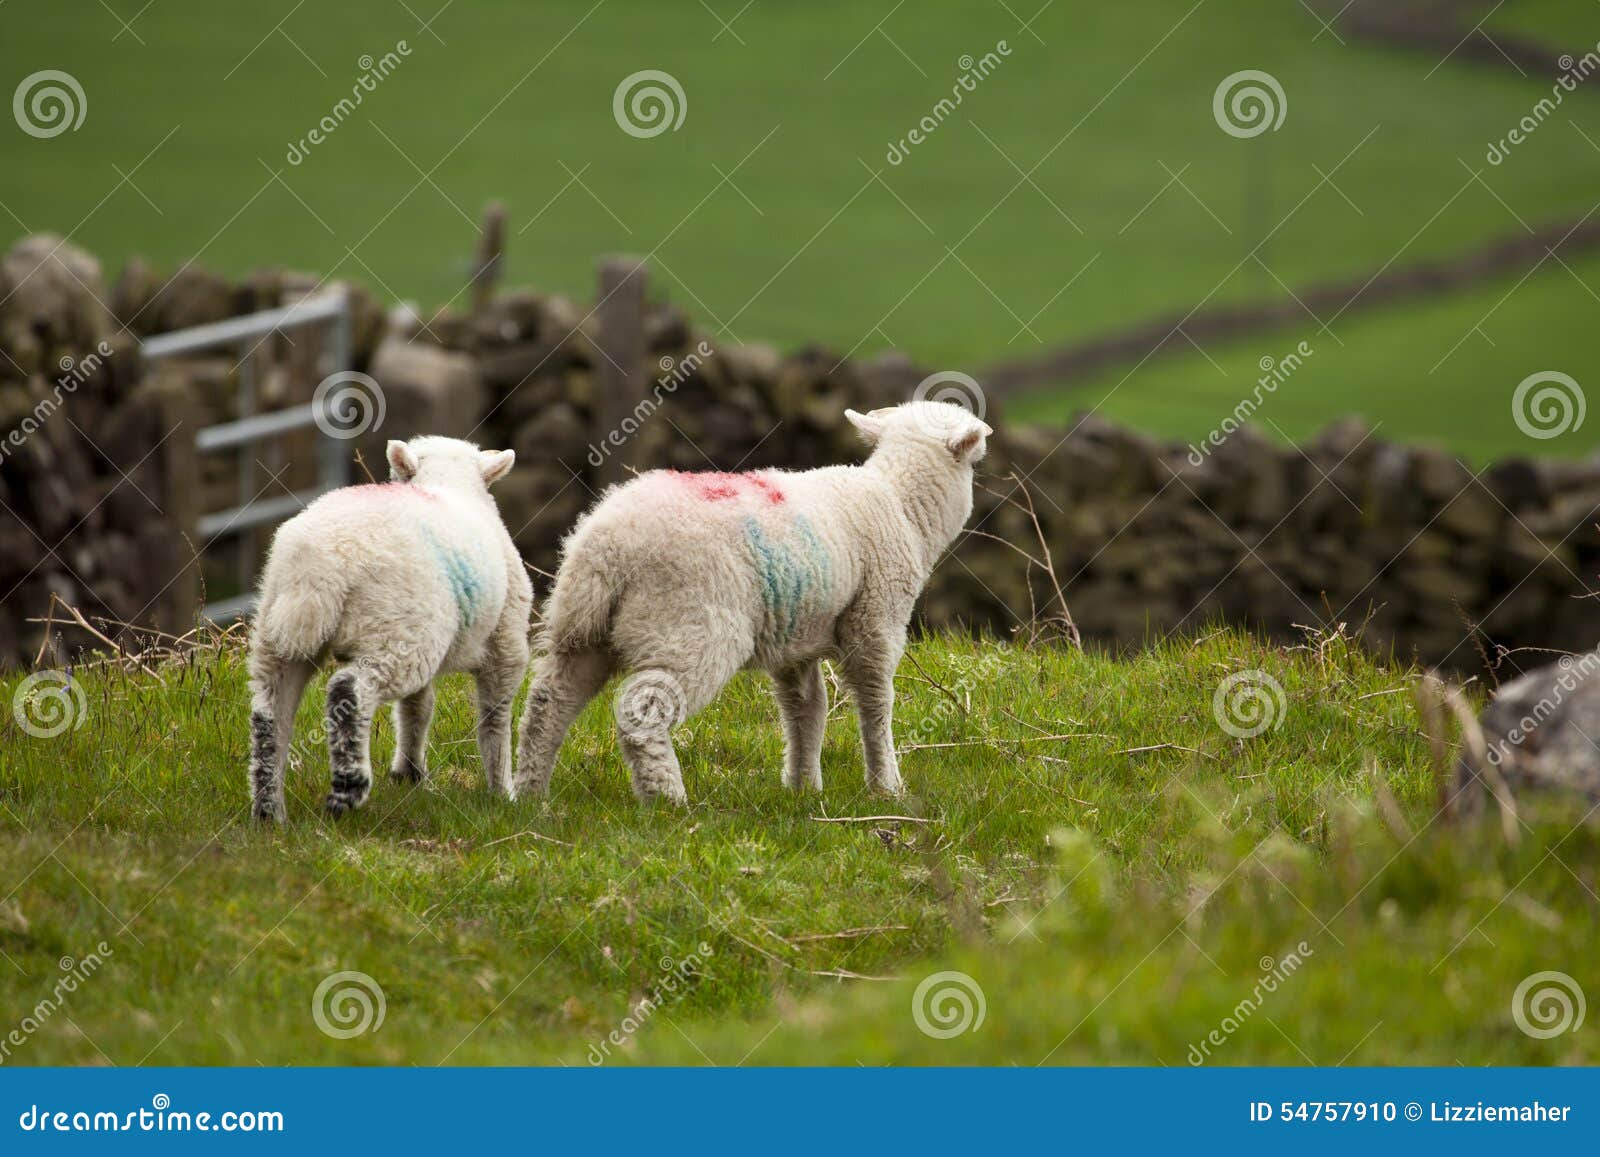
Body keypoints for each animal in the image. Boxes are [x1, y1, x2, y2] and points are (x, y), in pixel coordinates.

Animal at [246, 436, 531, 823]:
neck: (446, 483)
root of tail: (319, 565)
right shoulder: (506, 642)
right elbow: (495, 718)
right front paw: (503, 791)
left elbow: (417, 707)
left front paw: (409, 772)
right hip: (394, 634)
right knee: (349, 689)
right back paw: (349, 786)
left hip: (281, 632)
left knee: (270, 715)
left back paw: (269, 810)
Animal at [513, 399, 991, 804]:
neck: (901, 504)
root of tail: (607, 547)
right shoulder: (876, 617)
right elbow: (875, 702)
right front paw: (885, 786)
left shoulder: (796, 638)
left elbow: (806, 710)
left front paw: (802, 787)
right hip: (690, 626)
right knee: (642, 712)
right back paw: (667, 800)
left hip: (581, 627)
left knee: (548, 701)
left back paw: (531, 793)